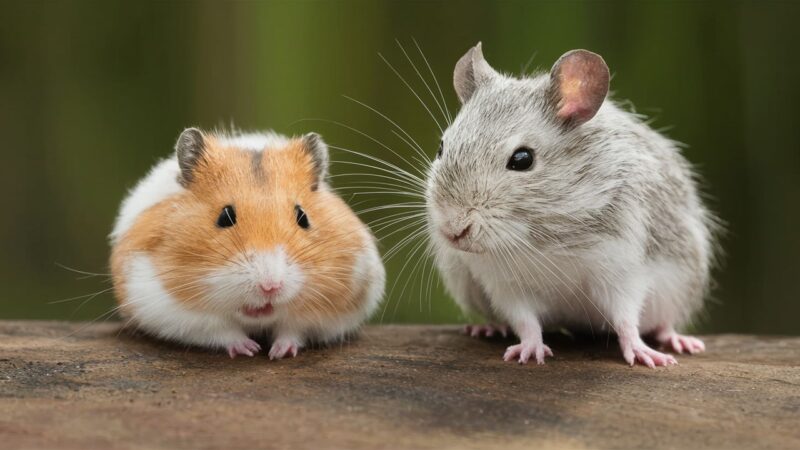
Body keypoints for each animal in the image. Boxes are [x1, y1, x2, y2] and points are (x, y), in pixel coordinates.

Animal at [109, 128, 385, 359]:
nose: (270, 287)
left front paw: (279, 353)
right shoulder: (170, 307)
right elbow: (221, 330)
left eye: (303, 217)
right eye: (225, 217)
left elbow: (293, 329)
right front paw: (249, 349)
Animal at [426, 43, 719, 367]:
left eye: (522, 159)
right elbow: (525, 322)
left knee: (662, 323)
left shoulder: (623, 270)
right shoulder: (504, 286)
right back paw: (488, 327)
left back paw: (676, 339)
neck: (542, 235)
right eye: (441, 148)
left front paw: (642, 352)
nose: (453, 231)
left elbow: (626, 319)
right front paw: (529, 349)